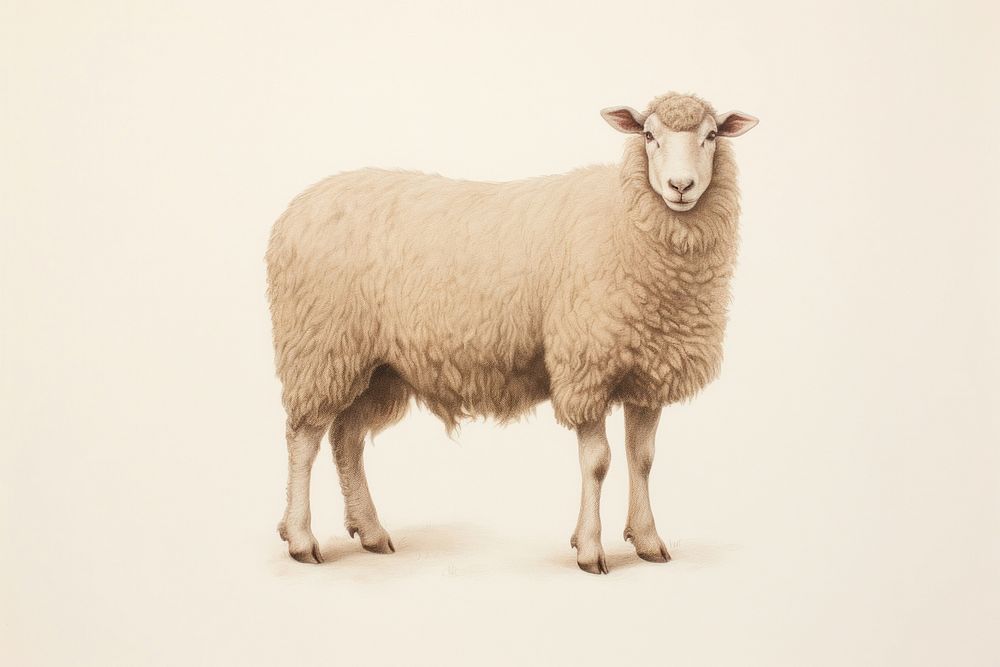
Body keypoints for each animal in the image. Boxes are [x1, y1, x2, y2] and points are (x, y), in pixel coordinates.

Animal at [266, 92, 757, 574]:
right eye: (650, 136)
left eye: (711, 136)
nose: (680, 186)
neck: (625, 220)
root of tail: (296, 208)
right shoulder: (584, 367)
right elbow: (598, 463)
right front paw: (590, 548)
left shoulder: (648, 369)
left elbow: (644, 459)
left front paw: (649, 541)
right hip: (320, 347)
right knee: (303, 440)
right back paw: (302, 540)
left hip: (373, 365)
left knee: (346, 440)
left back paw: (370, 532)